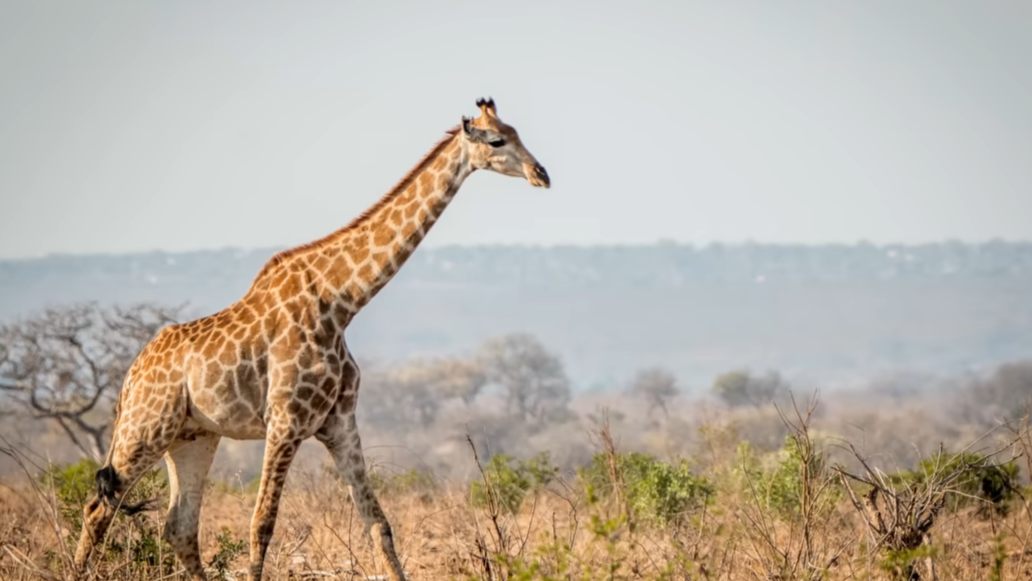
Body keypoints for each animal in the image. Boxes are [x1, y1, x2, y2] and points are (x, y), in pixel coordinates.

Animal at [73, 97, 550, 581]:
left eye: (516, 132)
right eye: (497, 140)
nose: (541, 173)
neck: (341, 303)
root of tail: (131, 376)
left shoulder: (339, 423)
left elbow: (378, 523)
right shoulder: (284, 422)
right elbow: (261, 524)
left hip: (193, 436)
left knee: (179, 526)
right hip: (145, 428)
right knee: (98, 508)